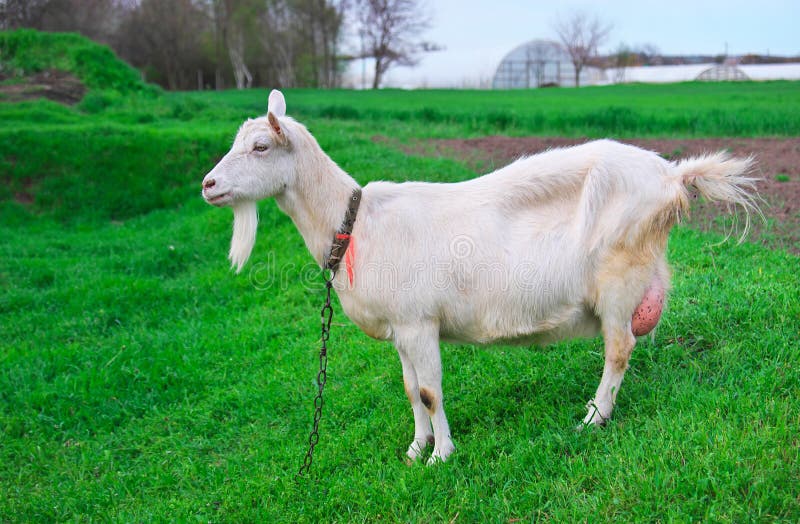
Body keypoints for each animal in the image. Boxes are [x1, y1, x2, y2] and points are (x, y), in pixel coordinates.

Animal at [201, 90, 760, 464]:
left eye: (260, 147)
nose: (208, 184)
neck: (358, 223)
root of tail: (672, 177)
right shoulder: (403, 328)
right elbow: (410, 389)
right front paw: (415, 449)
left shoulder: (420, 321)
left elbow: (430, 391)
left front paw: (441, 455)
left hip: (619, 279)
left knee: (619, 350)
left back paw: (594, 418)